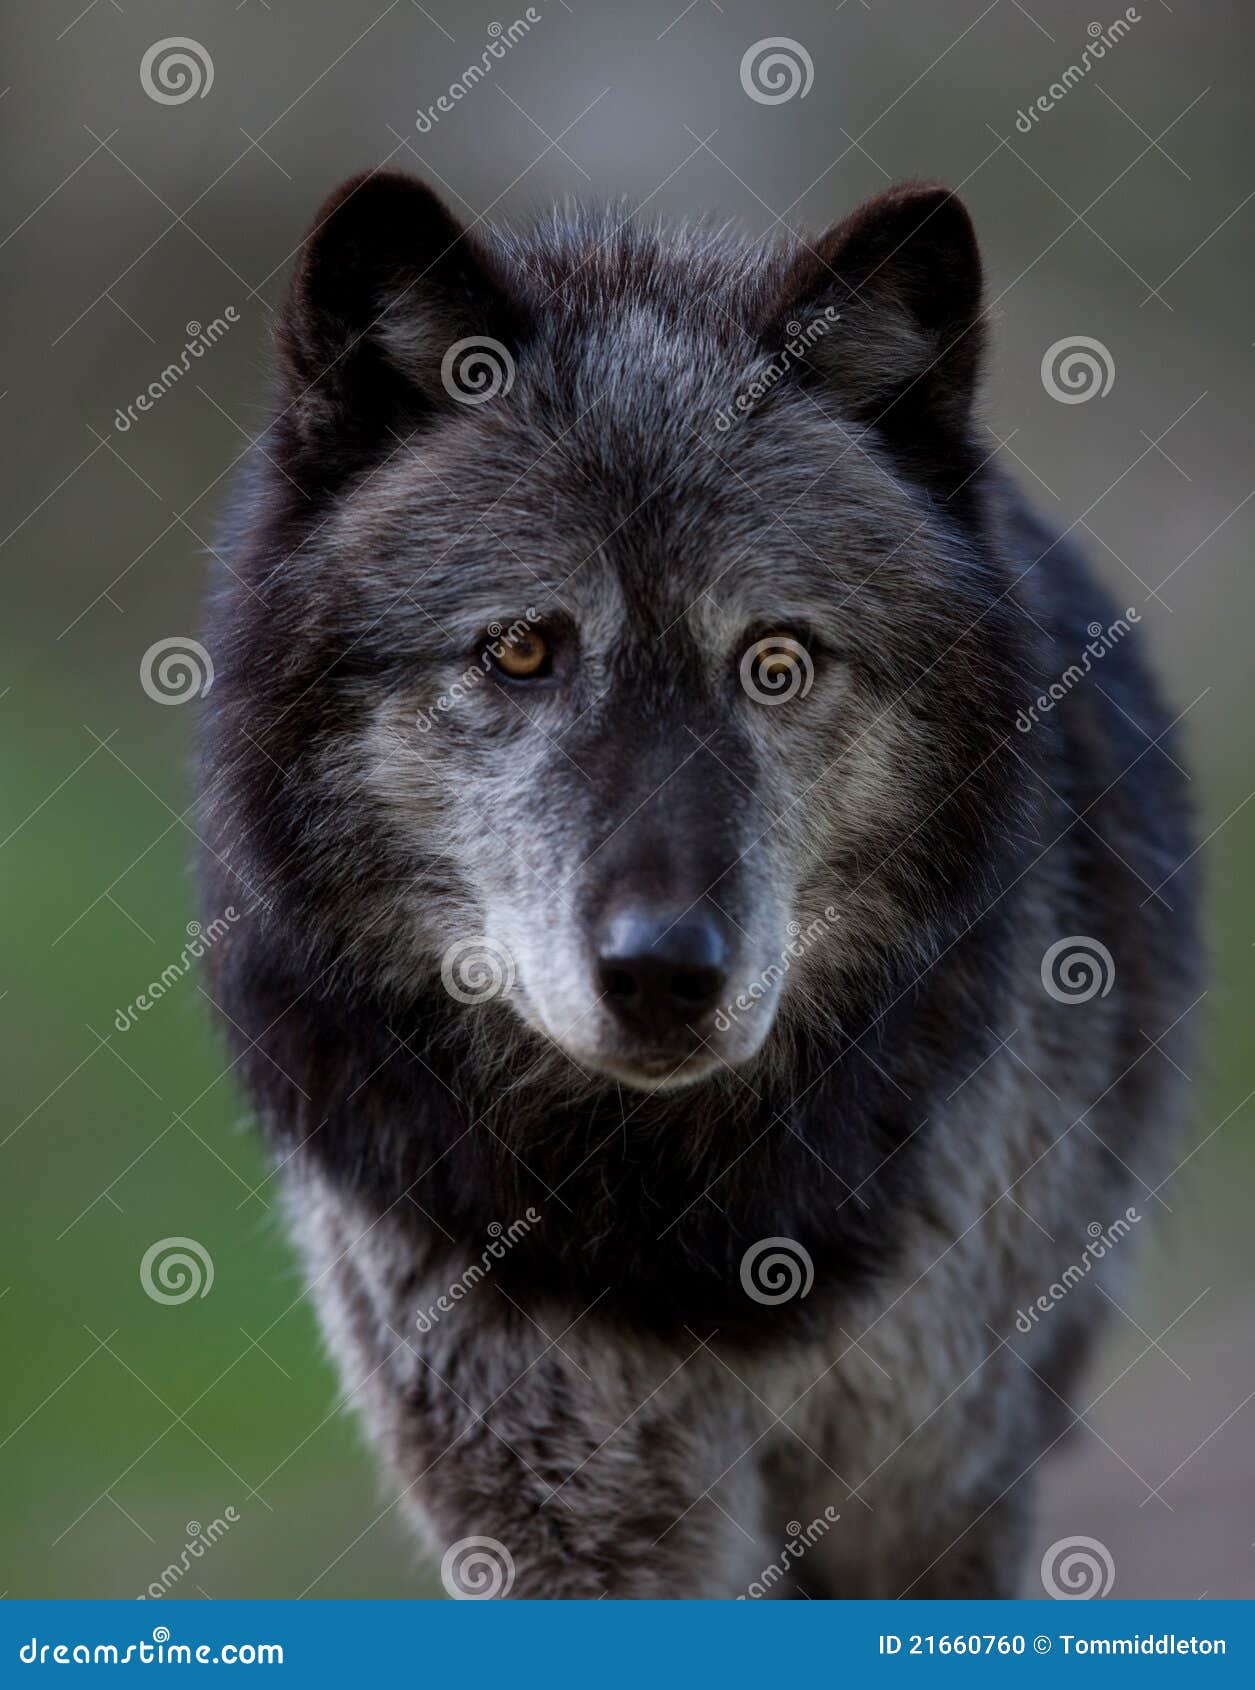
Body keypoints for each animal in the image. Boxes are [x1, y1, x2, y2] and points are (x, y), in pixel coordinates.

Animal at [197, 172, 1200, 1598]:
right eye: (520, 649)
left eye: (775, 662)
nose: (664, 971)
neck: (669, 1213)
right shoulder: (562, 1507)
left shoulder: (924, 1489)